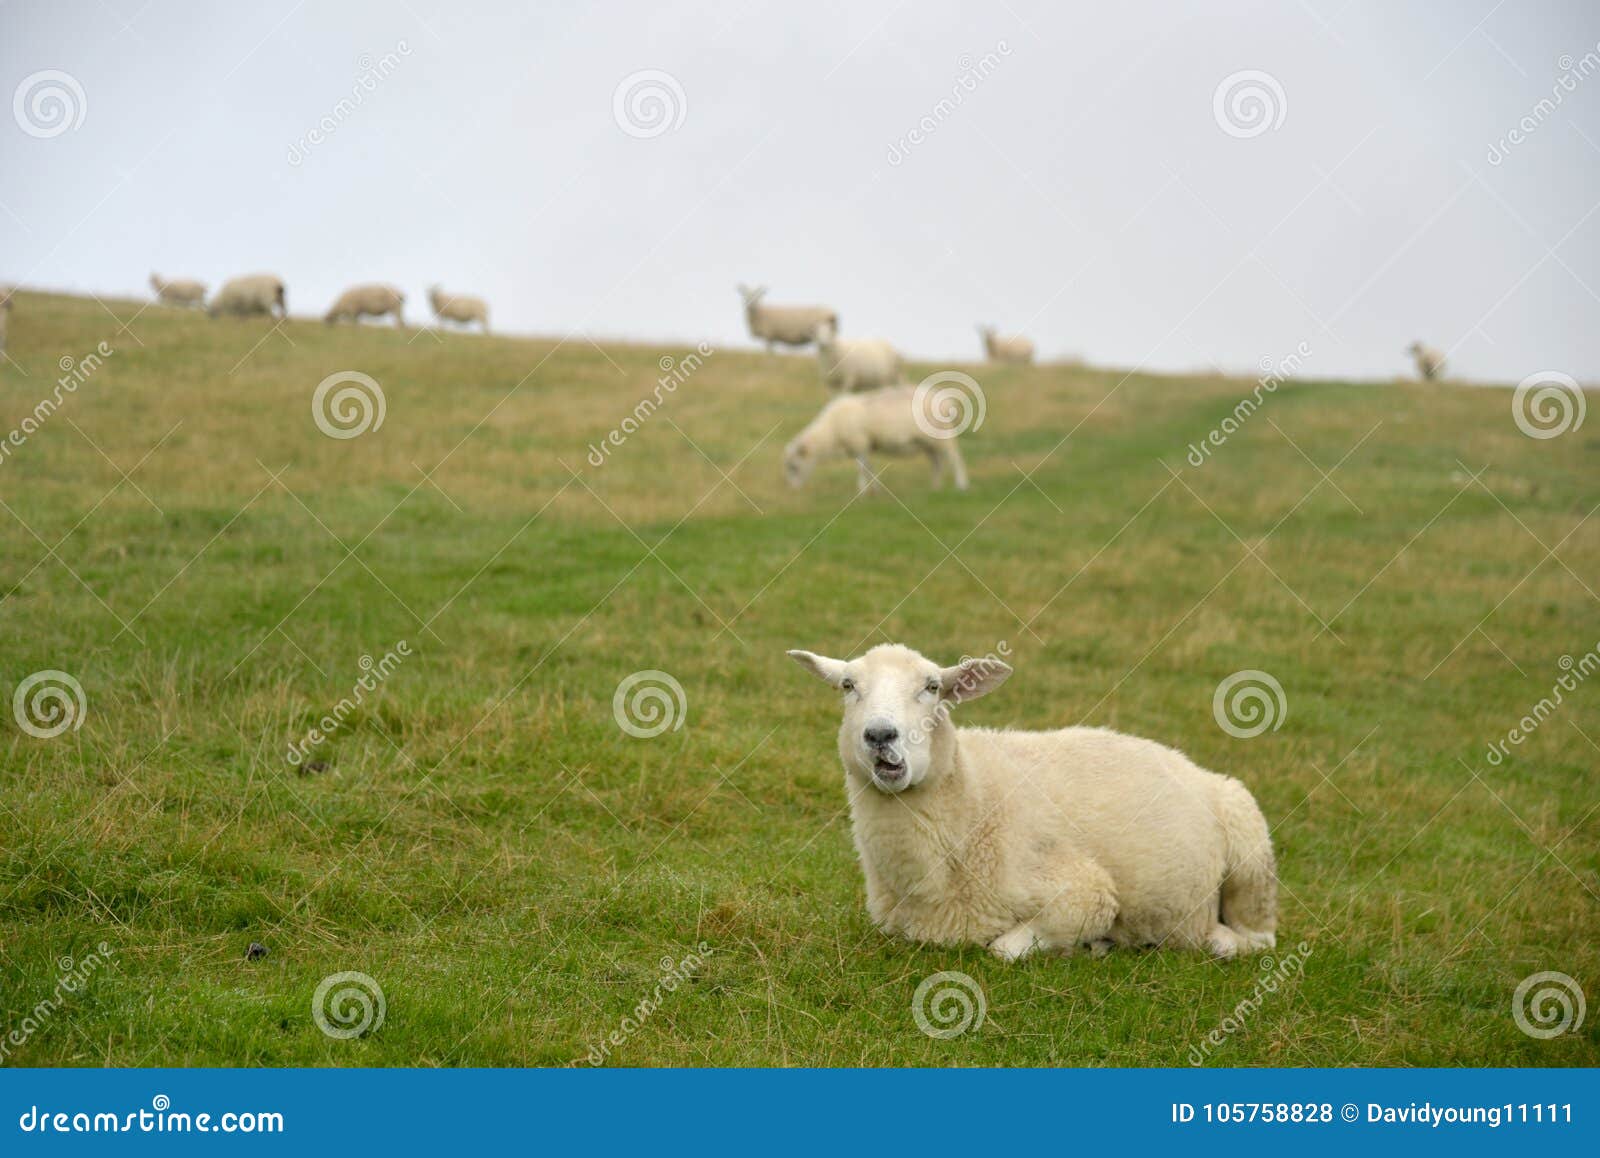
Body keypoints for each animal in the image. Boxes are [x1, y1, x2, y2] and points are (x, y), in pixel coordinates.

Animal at [784, 384, 968, 494]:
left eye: (794, 466)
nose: (793, 490)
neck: (831, 432)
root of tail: (945, 399)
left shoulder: (860, 443)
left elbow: (862, 468)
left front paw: (862, 491)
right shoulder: (864, 446)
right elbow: (869, 468)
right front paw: (875, 490)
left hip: (943, 435)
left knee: (955, 458)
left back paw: (961, 485)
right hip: (927, 442)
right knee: (936, 462)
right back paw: (935, 487)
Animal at [786, 643, 1278, 960]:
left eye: (932, 687)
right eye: (848, 685)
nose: (880, 736)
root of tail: (1190, 766)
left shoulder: (1085, 894)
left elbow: (1003, 949)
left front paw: (1084, 945)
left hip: (1250, 850)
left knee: (1259, 937)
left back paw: (1212, 941)